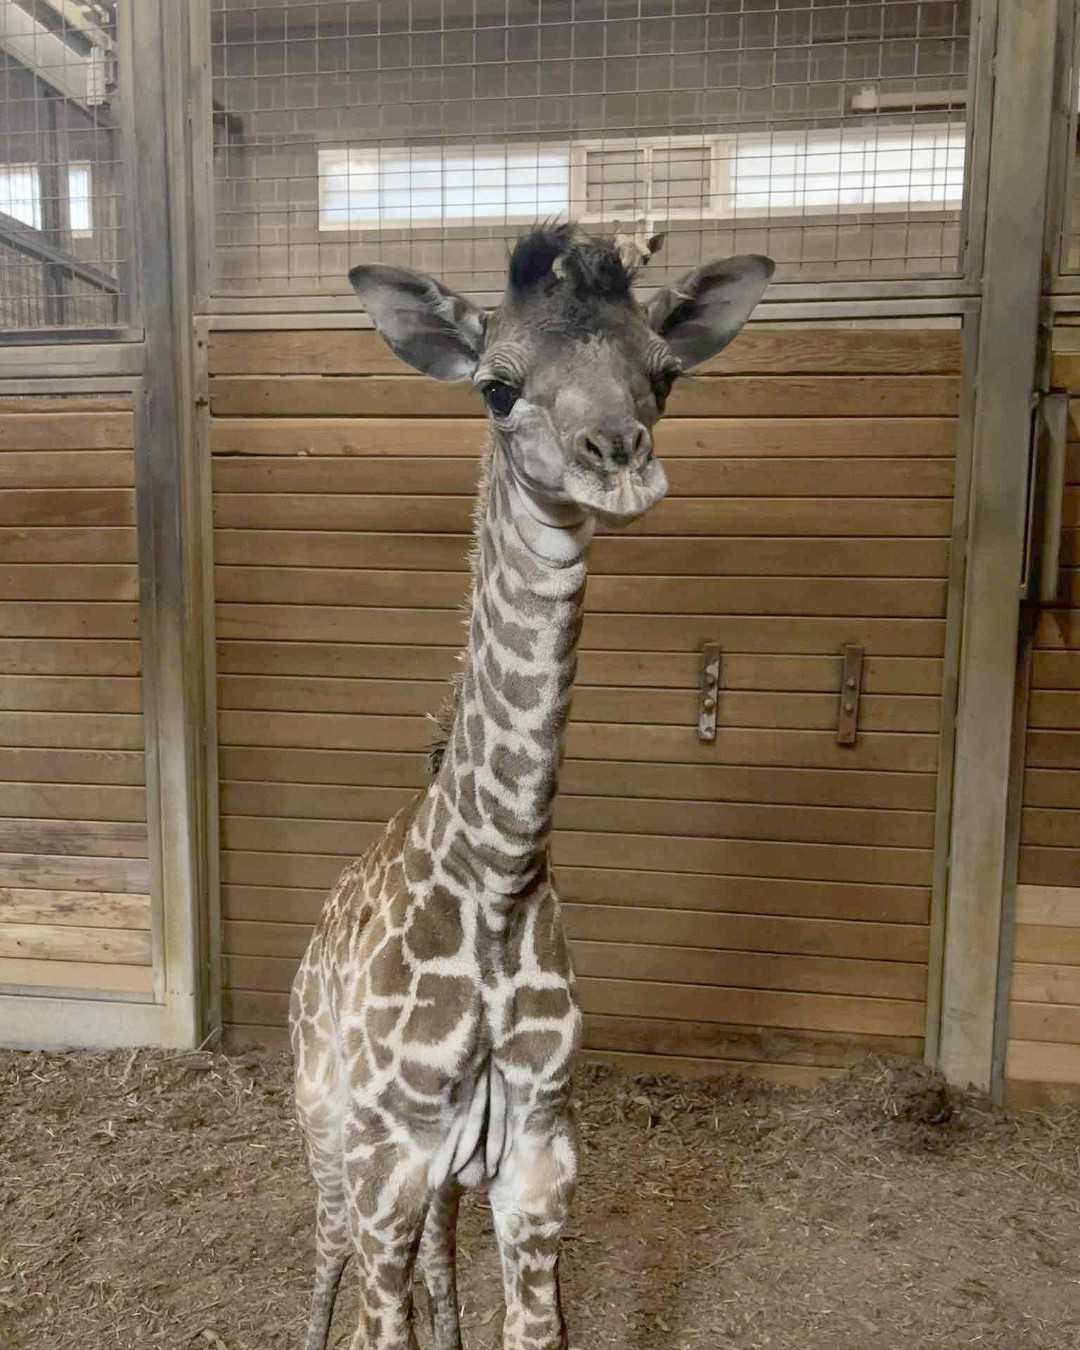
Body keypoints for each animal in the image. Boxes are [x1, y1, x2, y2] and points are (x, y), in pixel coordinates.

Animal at [289, 224, 773, 1350]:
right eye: (497, 387)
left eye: (664, 374)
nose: (620, 459)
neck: (500, 881)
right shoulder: (386, 1164)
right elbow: (374, 1312)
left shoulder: (540, 1164)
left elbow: (524, 1323)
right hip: (323, 1122)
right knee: (323, 1255)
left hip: (441, 1177)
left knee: (438, 1263)